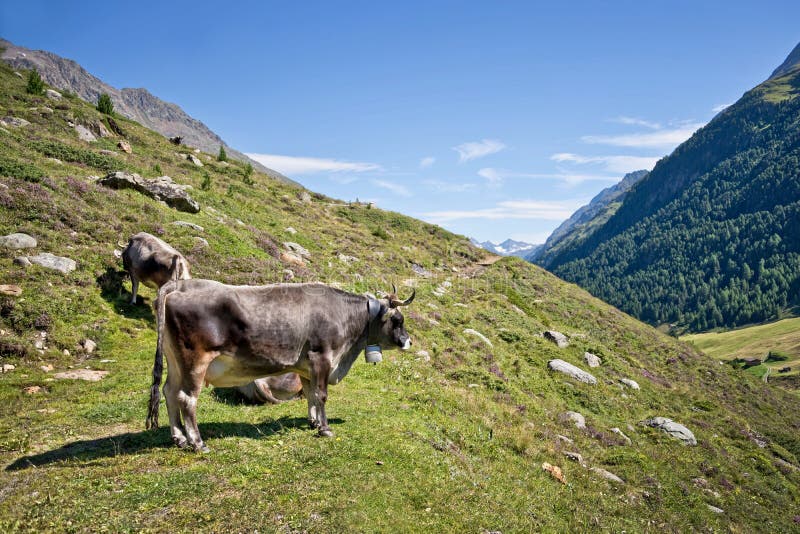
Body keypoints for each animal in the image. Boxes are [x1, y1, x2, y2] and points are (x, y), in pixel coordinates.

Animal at [145, 279, 415, 451]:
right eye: (398, 320)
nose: (408, 341)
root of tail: (179, 285)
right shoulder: (322, 357)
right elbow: (321, 394)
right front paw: (325, 429)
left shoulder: (306, 365)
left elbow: (310, 394)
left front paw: (314, 422)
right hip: (195, 362)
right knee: (186, 398)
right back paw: (197, 443)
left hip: (175, 361)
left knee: (169, 392)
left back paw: (179, 437)